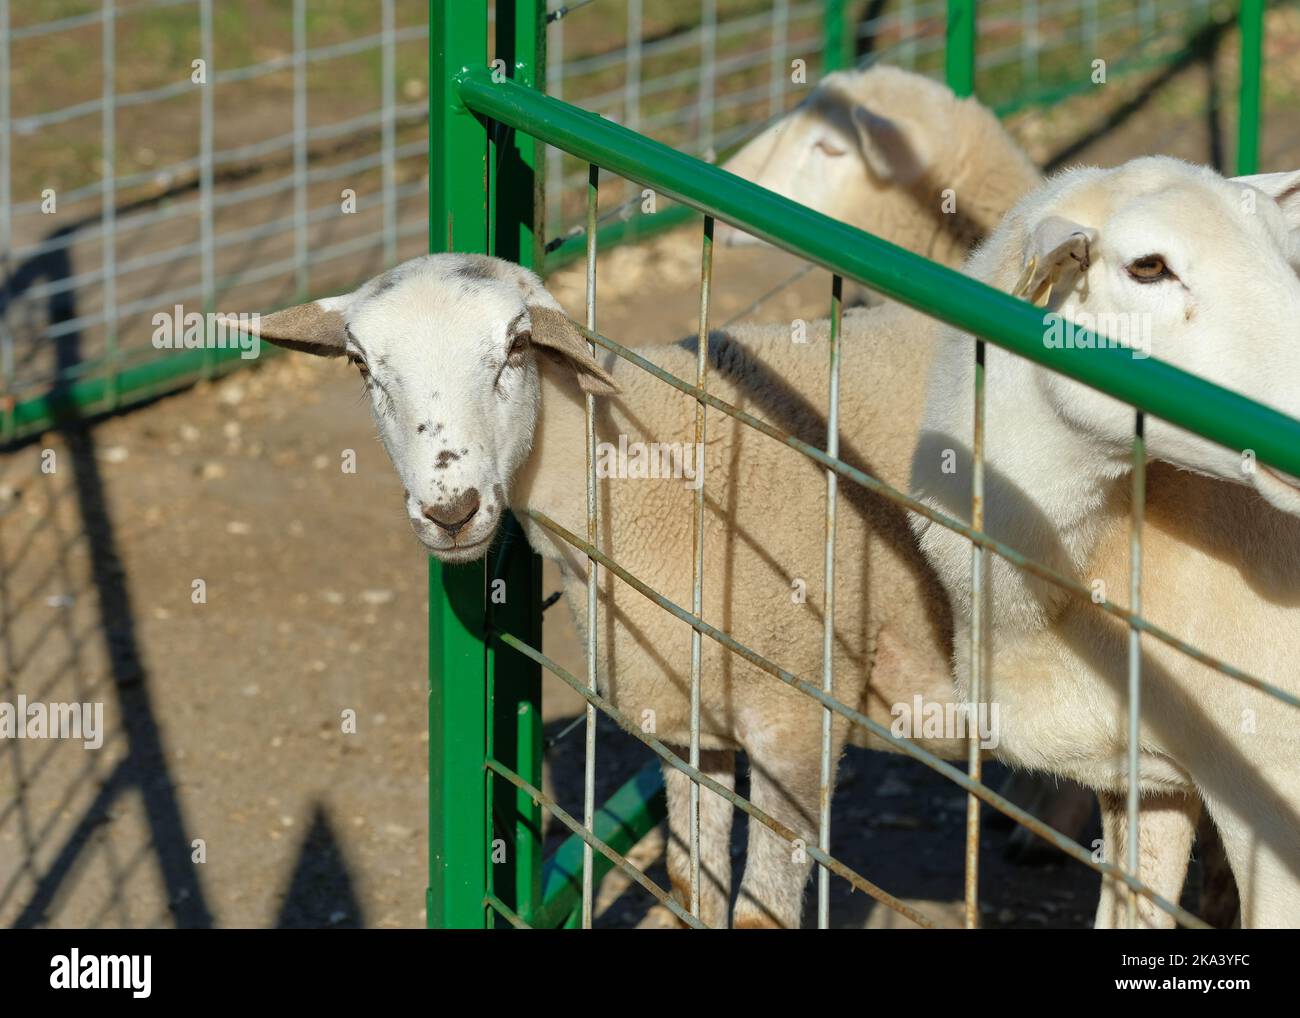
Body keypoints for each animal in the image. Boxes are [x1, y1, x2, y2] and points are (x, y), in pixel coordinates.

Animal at [234, 252, 972, 928]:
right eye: (362, 365)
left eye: (517, 347)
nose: (451, 511)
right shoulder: (685, 714)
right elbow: (689, 883)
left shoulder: (795, 719)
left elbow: (759, 916)